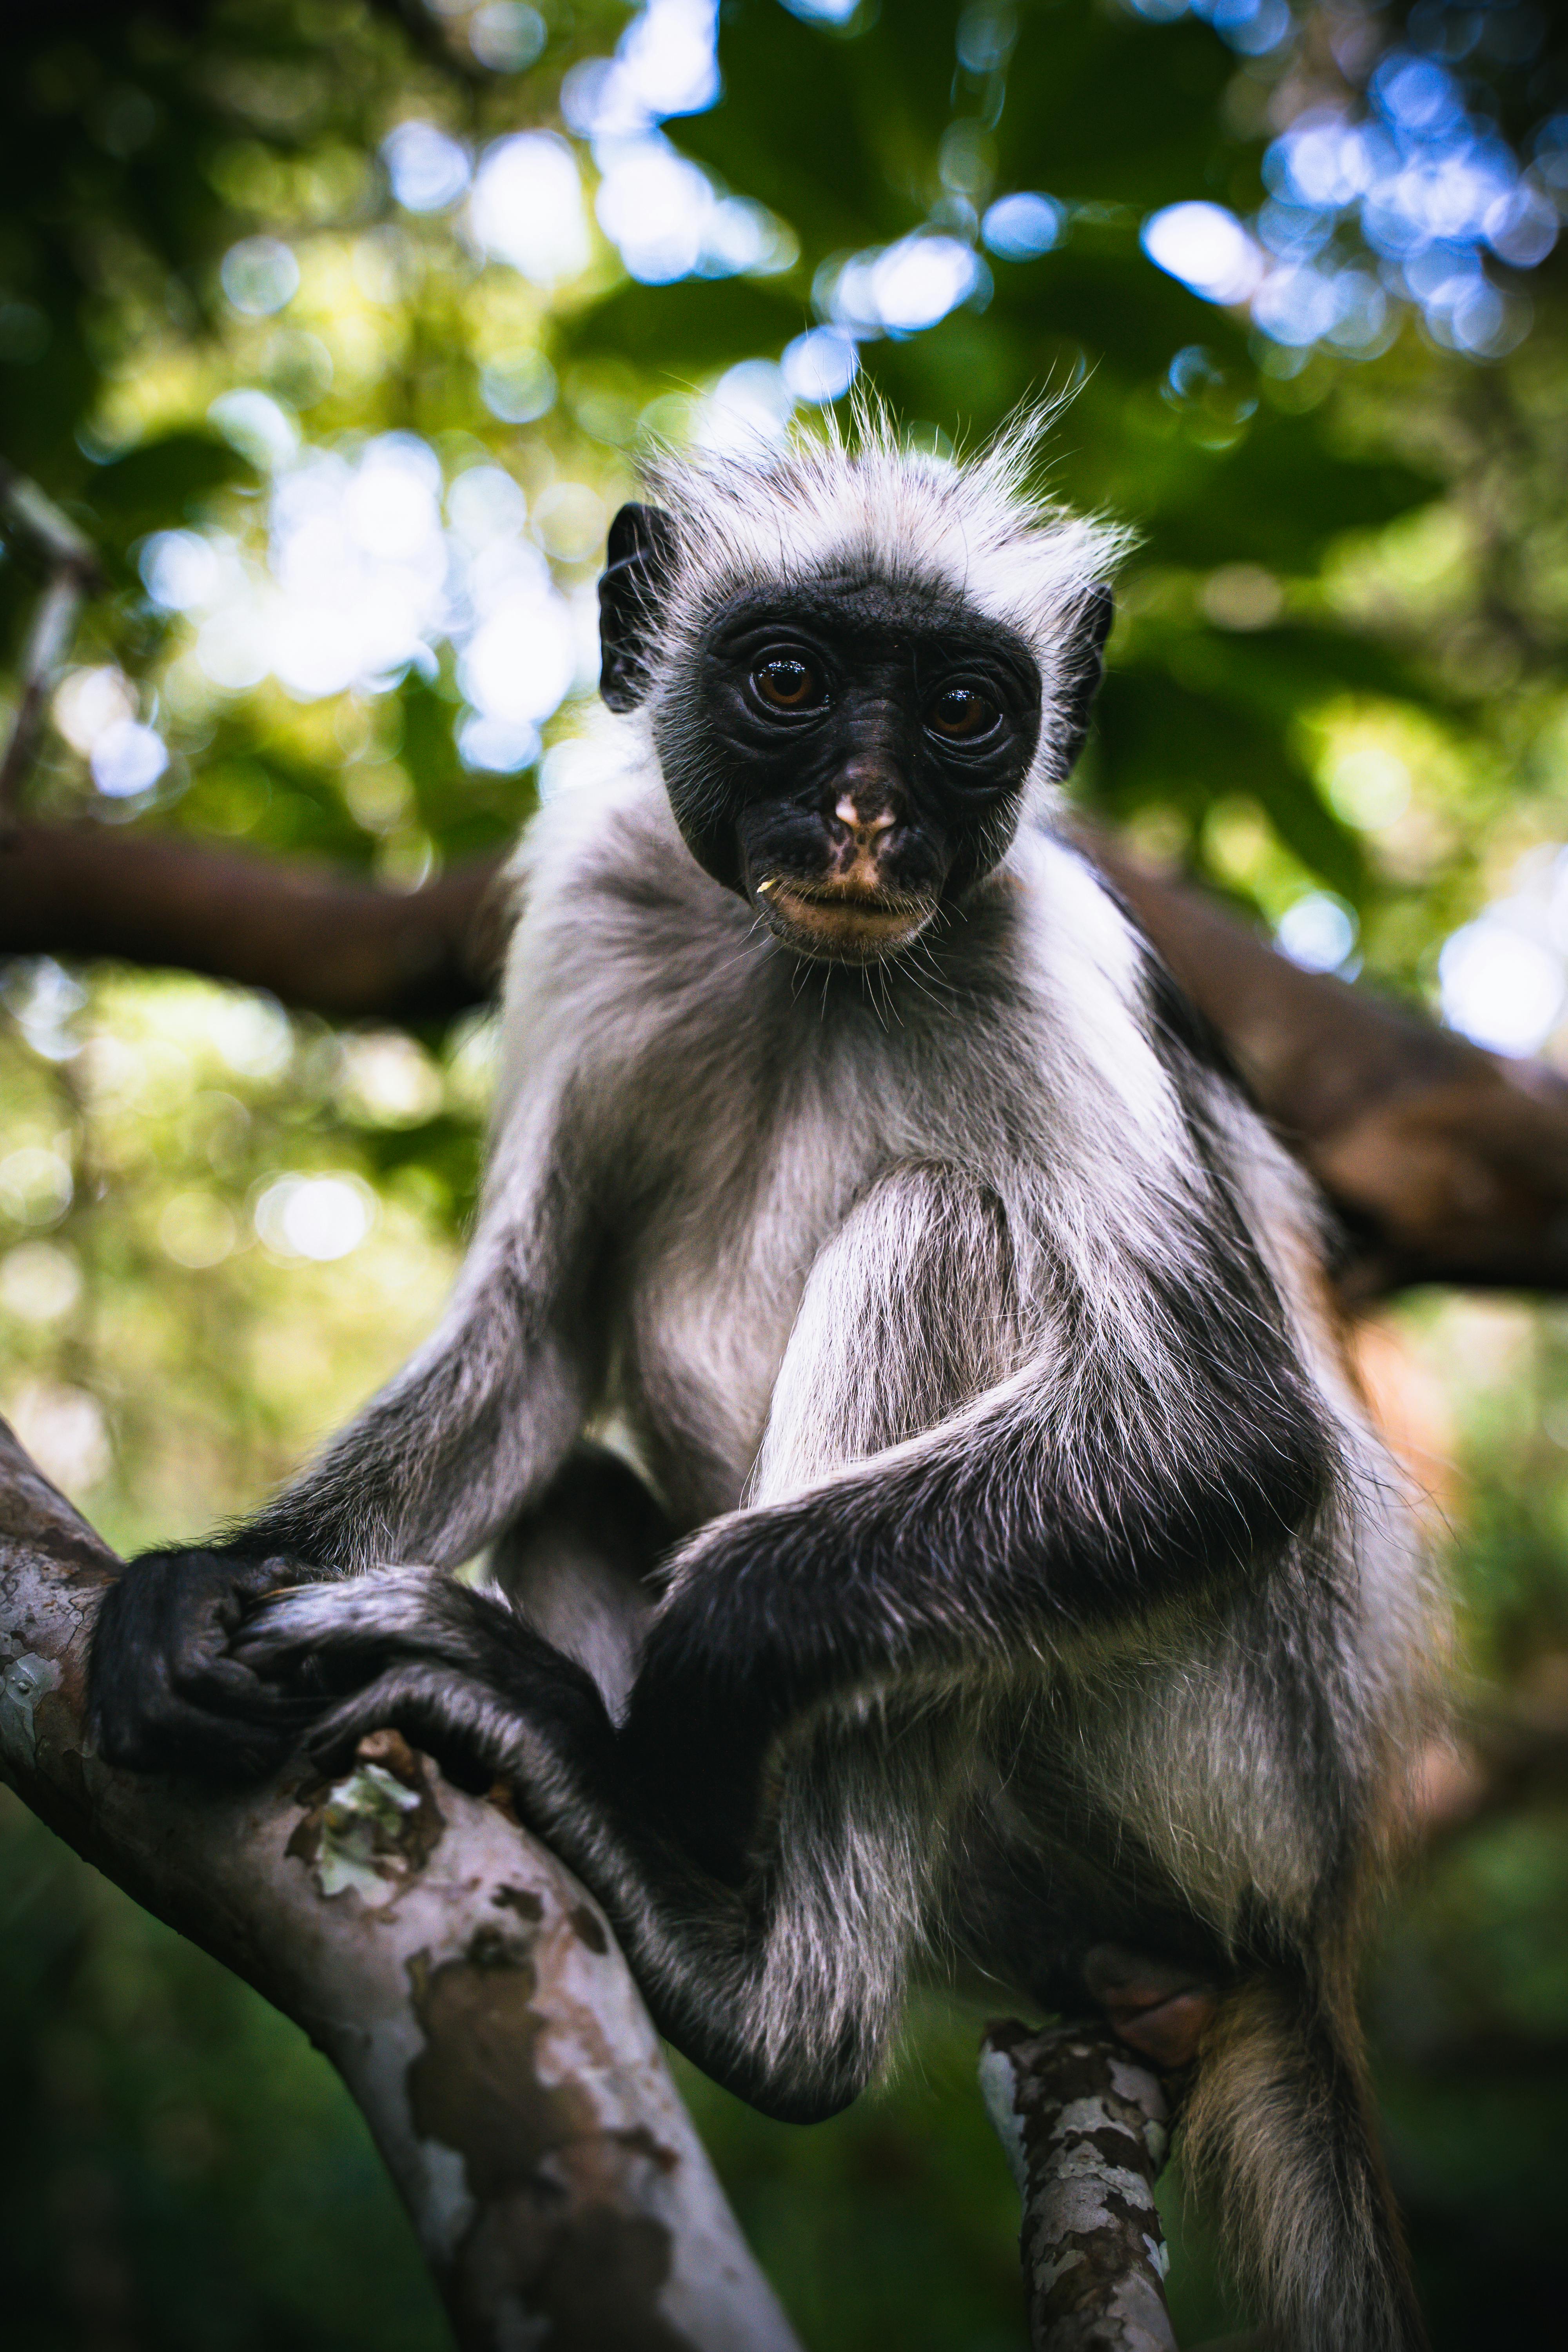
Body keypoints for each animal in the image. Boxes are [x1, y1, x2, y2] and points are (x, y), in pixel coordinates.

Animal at [87, 415, 1437, 2351]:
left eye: (961, 709)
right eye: (788, 681)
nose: (868, 815)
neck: (814, 966)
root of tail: (1308, 1912)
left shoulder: (1050, 947)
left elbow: (1225, 1440)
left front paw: (688, 1696)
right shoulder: (599, 890)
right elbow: (533, 1339)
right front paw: (205, 1587)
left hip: (1215, 1762)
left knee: (939, 1235)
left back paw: (745, 1963)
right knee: (585, 1477)